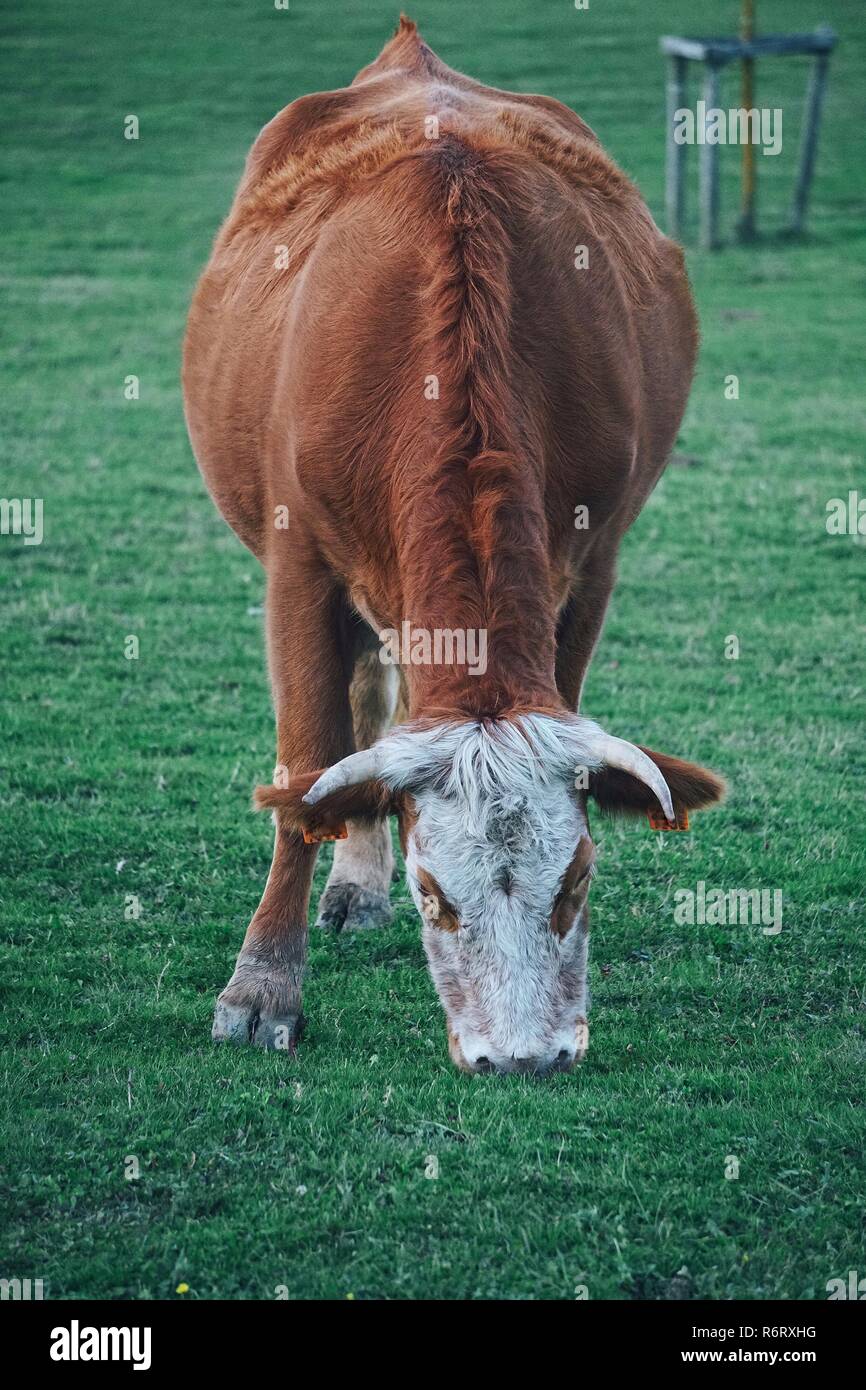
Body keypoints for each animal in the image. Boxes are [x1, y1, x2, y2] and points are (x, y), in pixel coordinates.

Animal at [182, 17, 724, 1076]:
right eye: (434, 889)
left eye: (580, 877)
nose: (523, 1058)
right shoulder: (297, 563)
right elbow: (305, 767)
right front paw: (262, 985)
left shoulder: (592, 563)